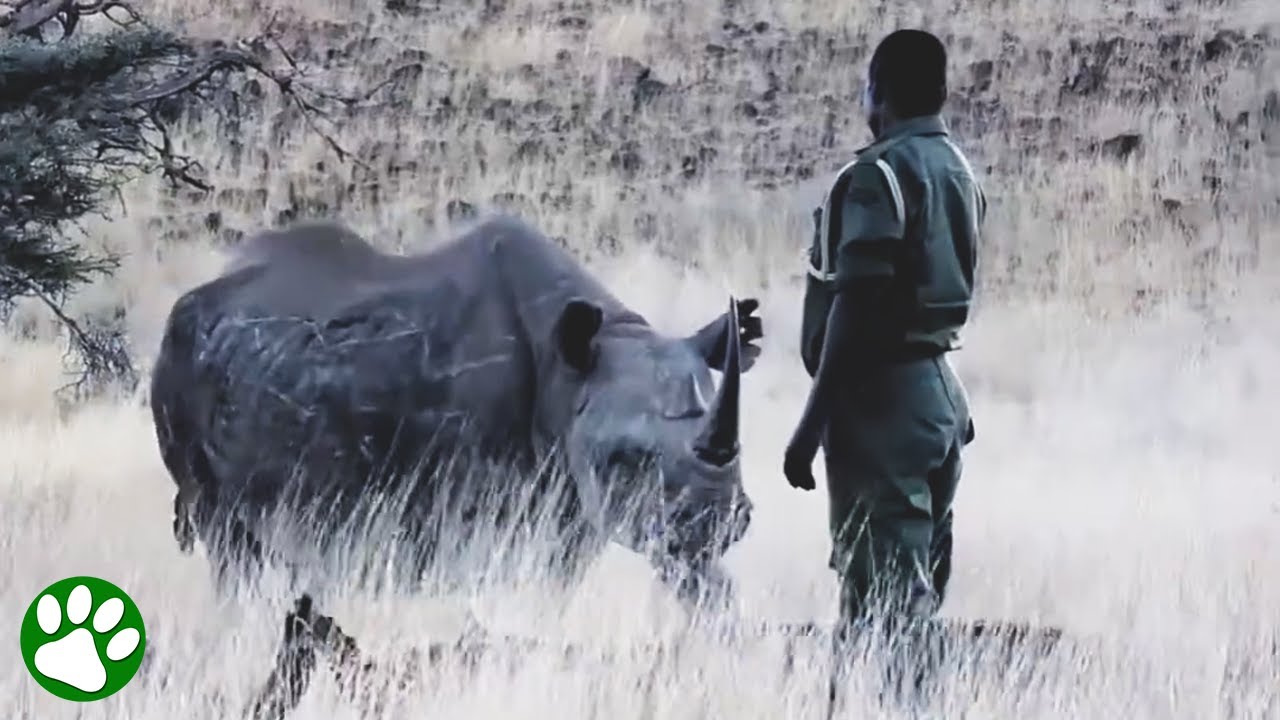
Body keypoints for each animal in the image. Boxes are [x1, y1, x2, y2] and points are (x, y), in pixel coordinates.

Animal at [149, 214, 762, 607]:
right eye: (624, 458)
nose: (713, 520)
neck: (571, 368)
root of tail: (188, 300)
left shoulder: (573, 508)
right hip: (176, 366)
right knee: (227, 539)